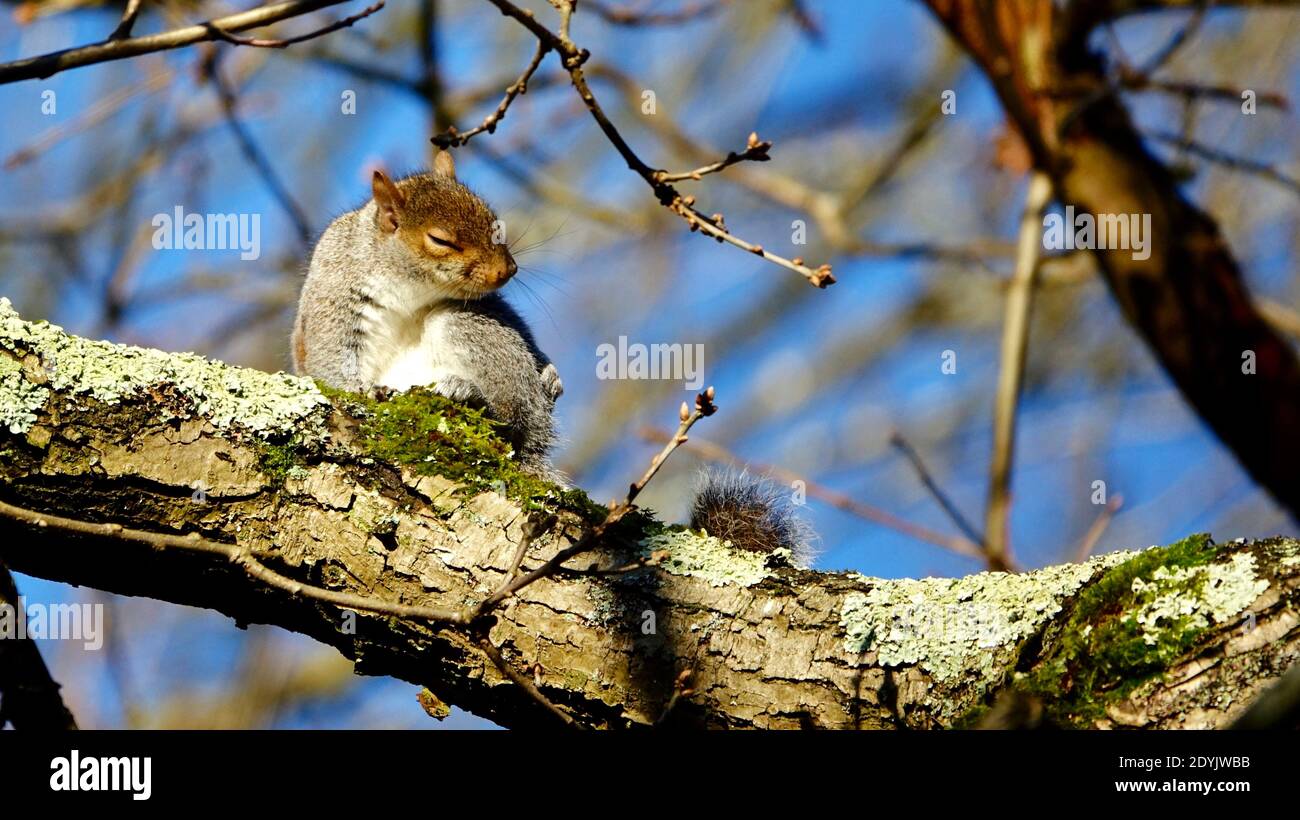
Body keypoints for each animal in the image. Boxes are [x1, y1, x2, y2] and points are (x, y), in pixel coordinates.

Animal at [292, 150, 812, 563]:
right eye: (440, 240)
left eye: (495, 223)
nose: (507, 270)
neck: (411, 287)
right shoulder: (335, 303)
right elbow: (329, 364)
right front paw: (360, 392)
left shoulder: (489, 308)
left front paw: (548, 374)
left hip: (467, 326)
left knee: (515, 417)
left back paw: (470, 394)